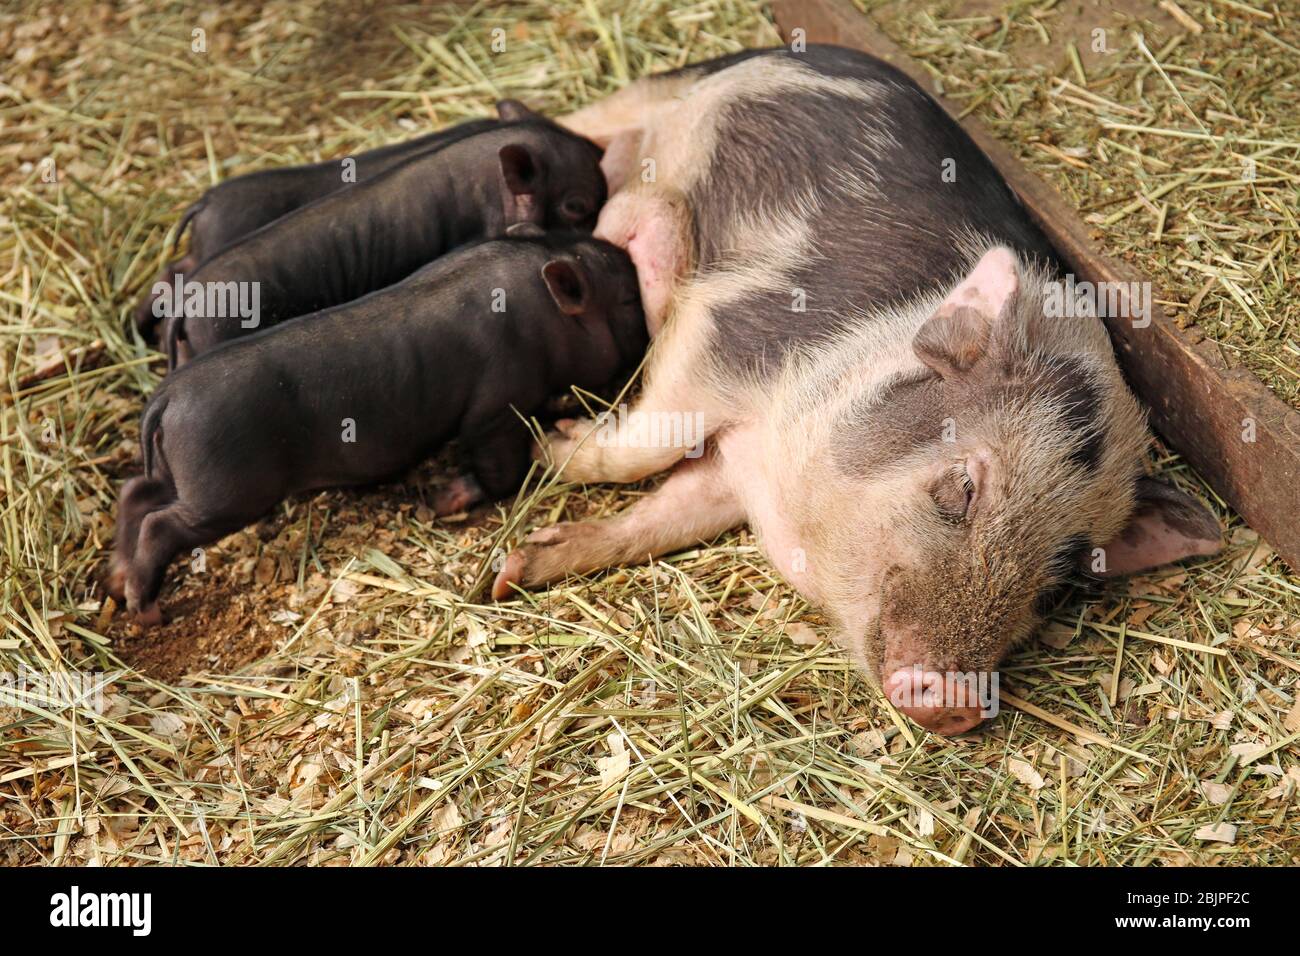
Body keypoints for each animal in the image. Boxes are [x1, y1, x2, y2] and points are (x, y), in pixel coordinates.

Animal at [107, 228, 646, 625]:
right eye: (626, 300)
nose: (650, 333)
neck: (544, 313)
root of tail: (166, 397)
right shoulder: (495, 409)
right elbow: (499, 471)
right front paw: (441, 500)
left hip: (180, 474)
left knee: (134, 494)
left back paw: (117, 580)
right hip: (225, 489)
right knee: (160, 523)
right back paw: (147, 612)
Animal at [489, 45, 1223, 735]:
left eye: (1059, 582)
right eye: (961, 487)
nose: (956, 702)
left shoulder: (737, 469)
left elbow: (665, 514)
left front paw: (510, 571)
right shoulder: (725, 332)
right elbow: (648, 445)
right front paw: (547, 446)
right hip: (659, 95)